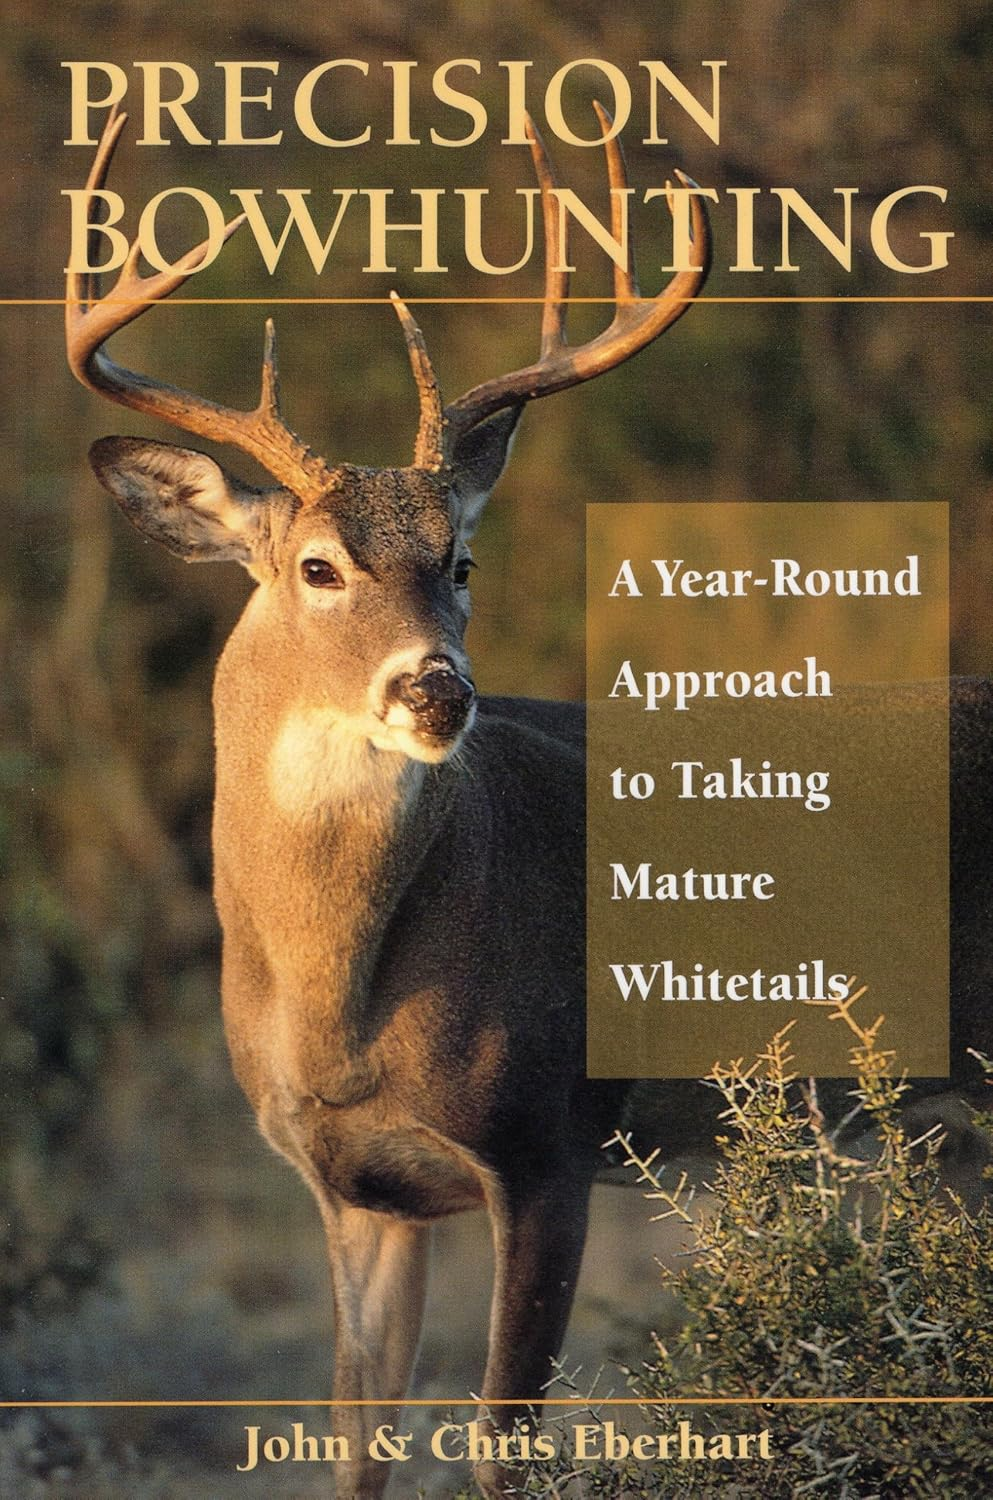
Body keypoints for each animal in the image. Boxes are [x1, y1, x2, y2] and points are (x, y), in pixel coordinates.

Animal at [66, 106, 993, 1499]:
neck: (342, 1000)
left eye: (460, 560)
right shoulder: (356, 1193)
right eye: (318, 567)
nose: (437, 689)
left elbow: (506, 1450)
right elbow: (357, 1450)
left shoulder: (551, 1138)